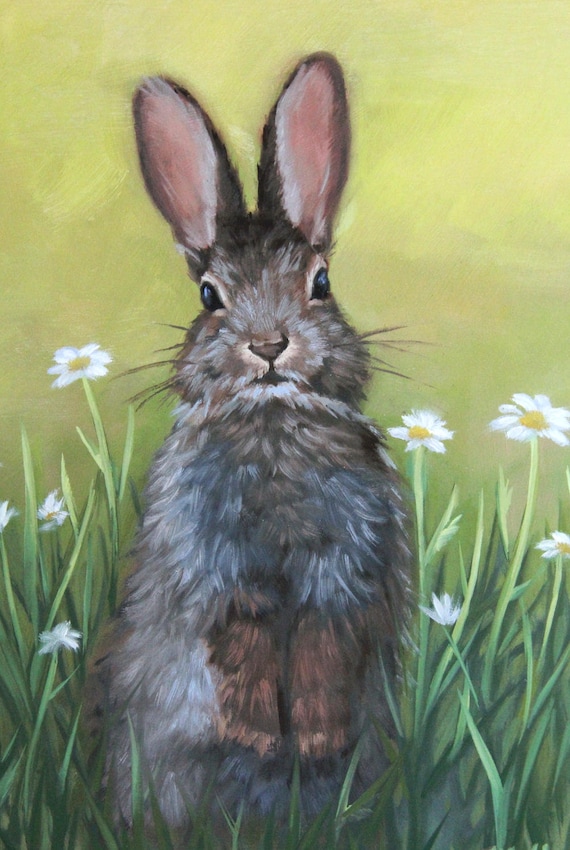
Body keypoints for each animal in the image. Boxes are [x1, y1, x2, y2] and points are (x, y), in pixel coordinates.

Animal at [86, 52, 411, 835]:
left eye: (321, 282)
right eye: (209, 295)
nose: (268, 346)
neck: (272, 426)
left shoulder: (345, 569)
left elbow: (326, 642)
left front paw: (316, 732)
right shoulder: (218, 569)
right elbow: (243, 641)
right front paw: (261, 732)